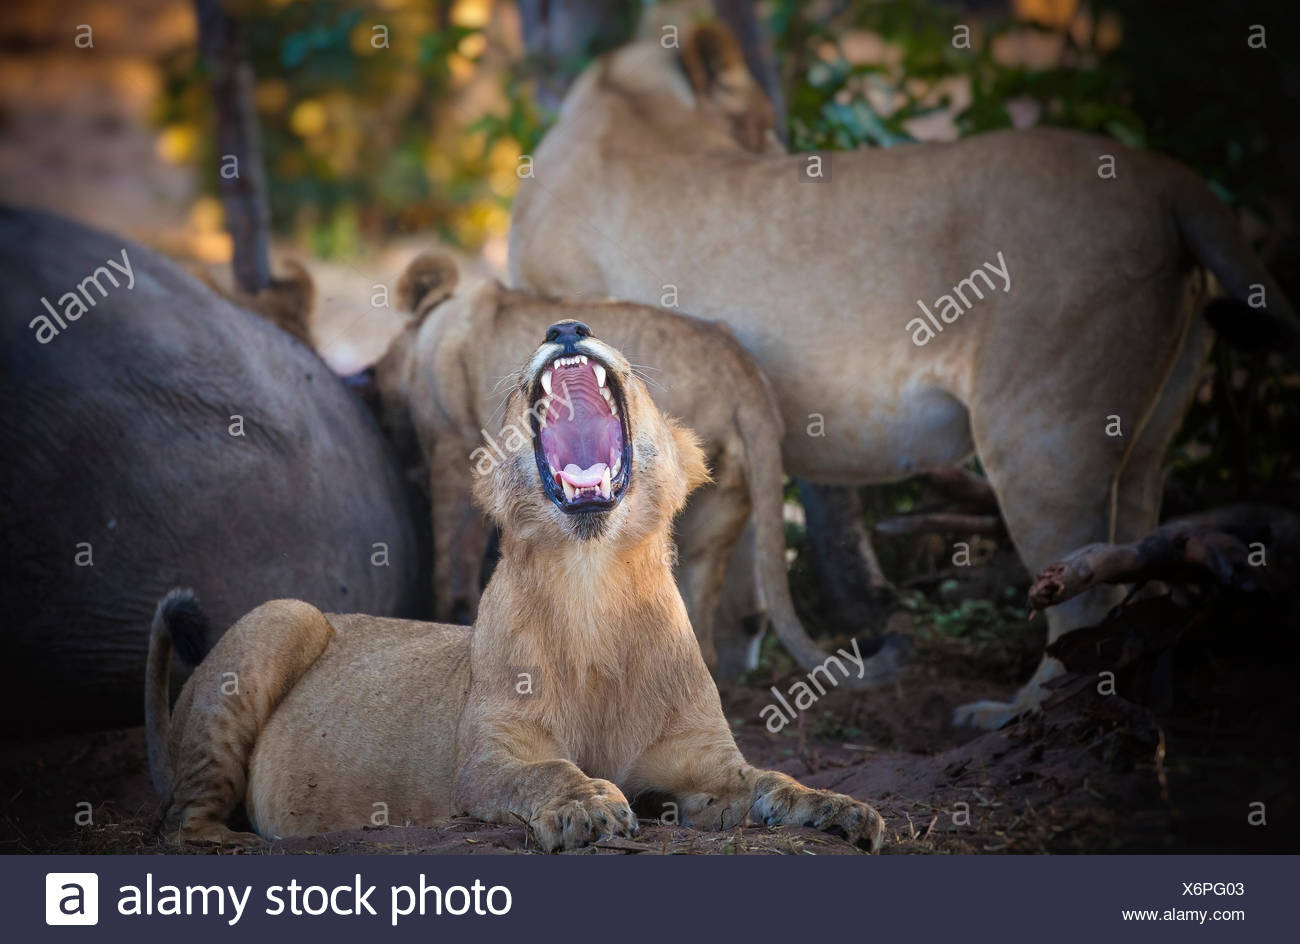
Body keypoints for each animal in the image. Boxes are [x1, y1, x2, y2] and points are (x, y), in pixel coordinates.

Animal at [144, 323, 886, 852]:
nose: (566, 327)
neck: (594, 584)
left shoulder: (701, 764)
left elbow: (773, 780)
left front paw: (844, 809)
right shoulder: (490, 757)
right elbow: (547, 771)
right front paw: (588, 806)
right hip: (281, 616)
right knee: (180, 821)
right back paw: (236, 842)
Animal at [362, 251, 901, 683]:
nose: (565, 329)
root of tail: (743, 370)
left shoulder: (451, 447)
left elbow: (450, 562)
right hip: (720, 507)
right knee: (698, 628)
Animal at [506, 21, 1298, 728]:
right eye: (764, 130)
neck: (630, 108)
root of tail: (1166, 175)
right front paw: (724, 662)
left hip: (1042, 436)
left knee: (1077, 585)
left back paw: (1019, 712)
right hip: (1149, 430)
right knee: (1131, 549)